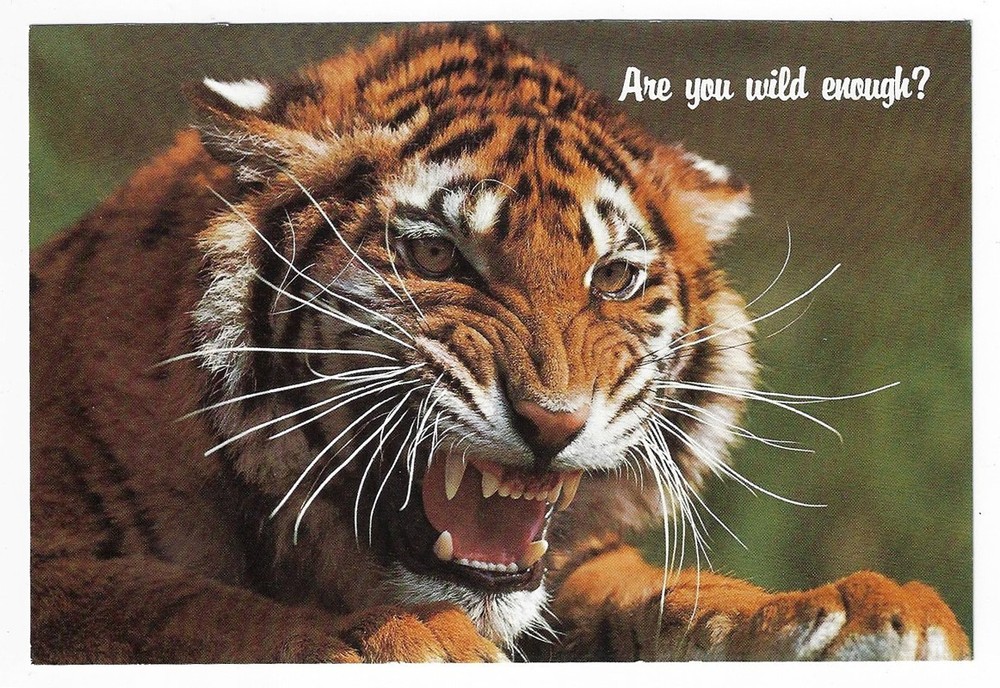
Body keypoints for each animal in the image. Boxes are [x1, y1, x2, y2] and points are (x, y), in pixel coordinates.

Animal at [29, 23, 970, 662]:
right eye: (436, 255)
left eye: (613, 278)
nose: (554, 423)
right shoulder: (56, 567)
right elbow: (179, 605)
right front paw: (408, 637)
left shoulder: (577, 567)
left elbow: (671, 591)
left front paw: (866, 614)